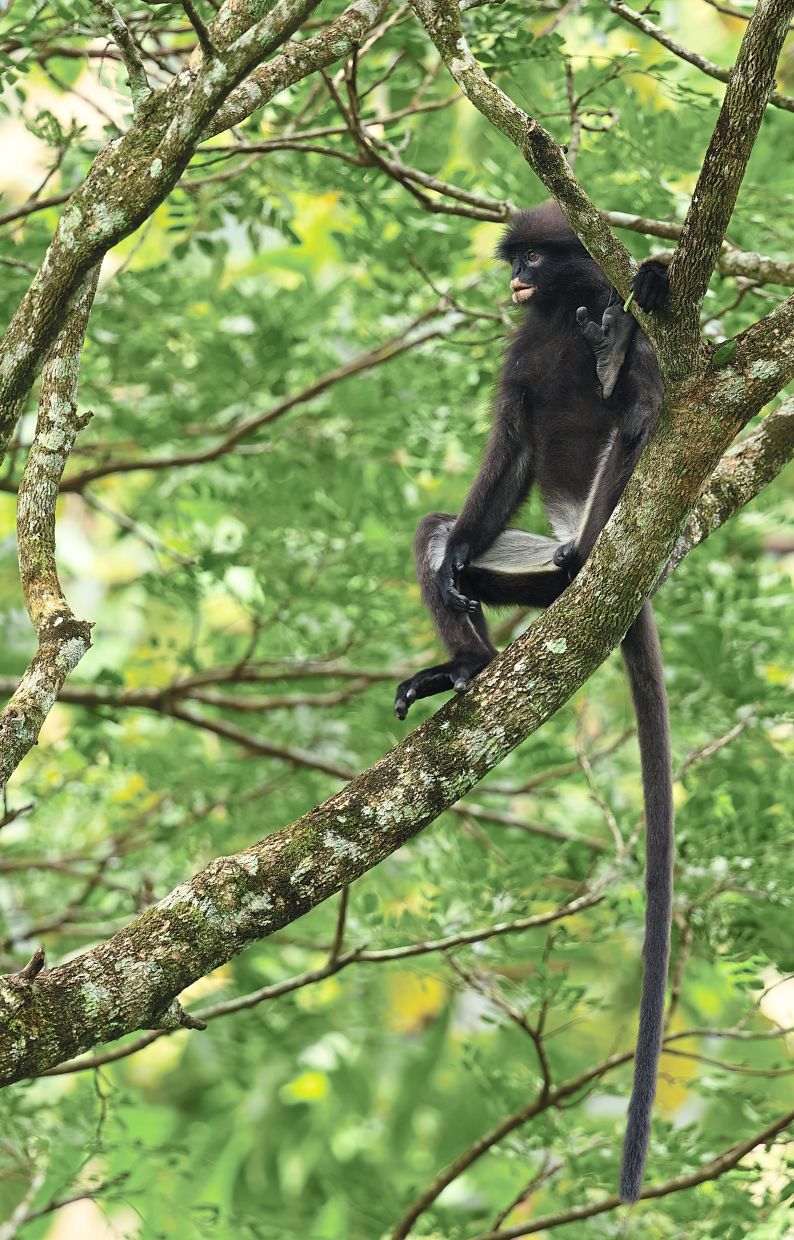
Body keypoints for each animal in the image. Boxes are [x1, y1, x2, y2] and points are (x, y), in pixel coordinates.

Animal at [394, 201, 670, 1203]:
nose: (512, 278)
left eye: (539, 258)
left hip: (605, 520)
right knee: (444, 536)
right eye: (514, 262)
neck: (559, 314)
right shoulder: (520, 354)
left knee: (637, 428)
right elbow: (508, 441)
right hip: (522, 557)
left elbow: (663, 401)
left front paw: (622, 329)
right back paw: (467, 662)